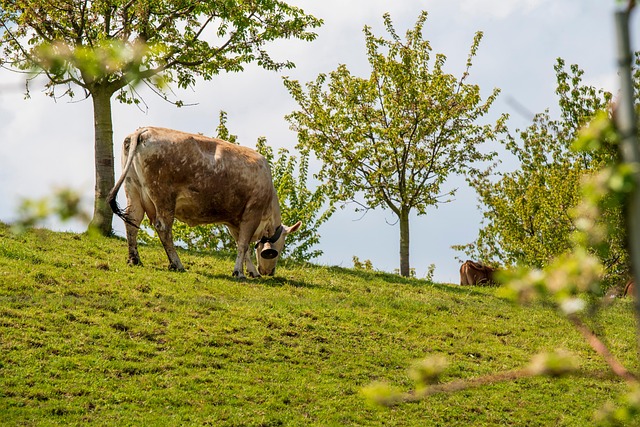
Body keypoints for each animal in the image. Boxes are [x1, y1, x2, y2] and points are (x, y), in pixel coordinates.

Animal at [107, 126, 301, 278]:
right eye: (277, 251)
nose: (270, 272)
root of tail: (144, 130)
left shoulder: (235, 220)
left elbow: (241, 245)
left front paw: (252, 271)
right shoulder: (252, 212)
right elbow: (243, 245)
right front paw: (239, 272)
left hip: (133, 190)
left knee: (132, 221)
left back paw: (134, 259)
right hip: (163, 197)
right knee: (163, 228)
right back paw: (176, 264)